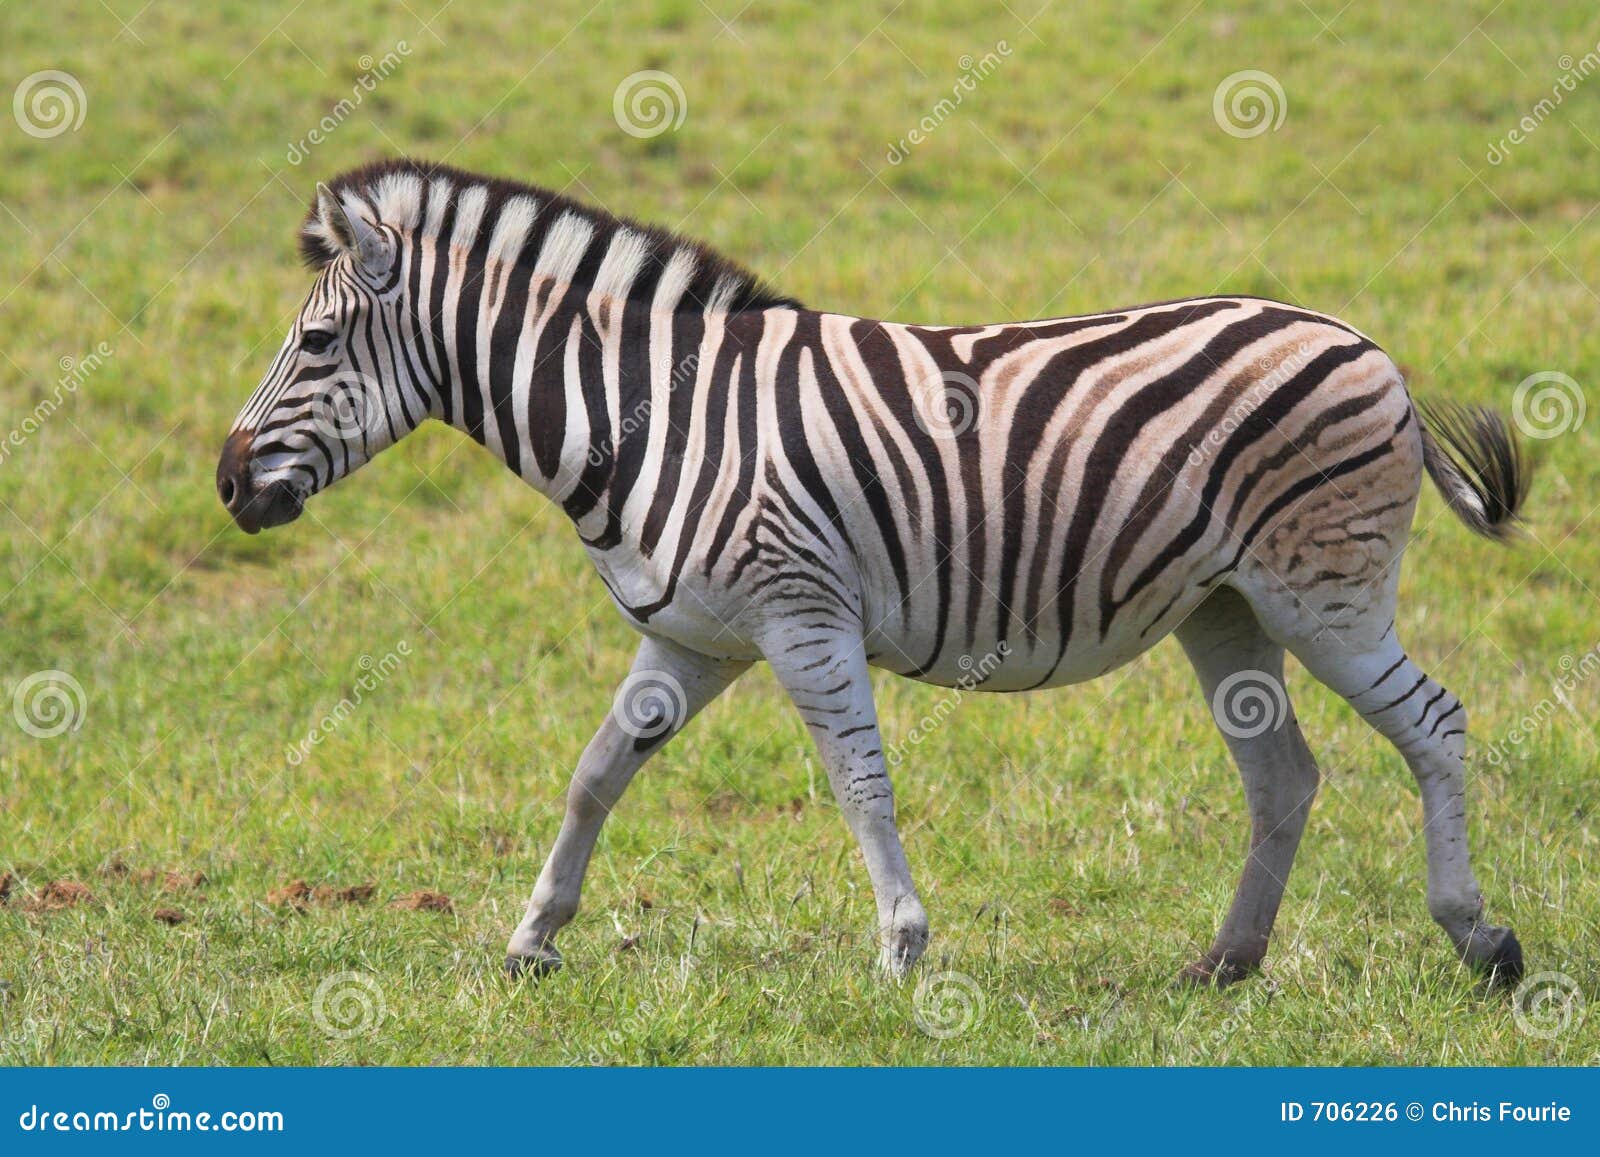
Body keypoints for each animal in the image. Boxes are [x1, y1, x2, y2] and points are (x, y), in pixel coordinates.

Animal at [219, 159, 1530, 987]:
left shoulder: (802, 616)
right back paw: (1225, 960)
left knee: (1434, 724)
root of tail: (1368, 347)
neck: (649, 415)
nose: (229, 484)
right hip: (1227, 609)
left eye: (318, 342)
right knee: (1282, 774)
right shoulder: (692, 634)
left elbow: (859, 783)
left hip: (1324, 594)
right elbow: (594, 774)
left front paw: (902, 946)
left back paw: (1479, 938)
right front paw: (533, 938)